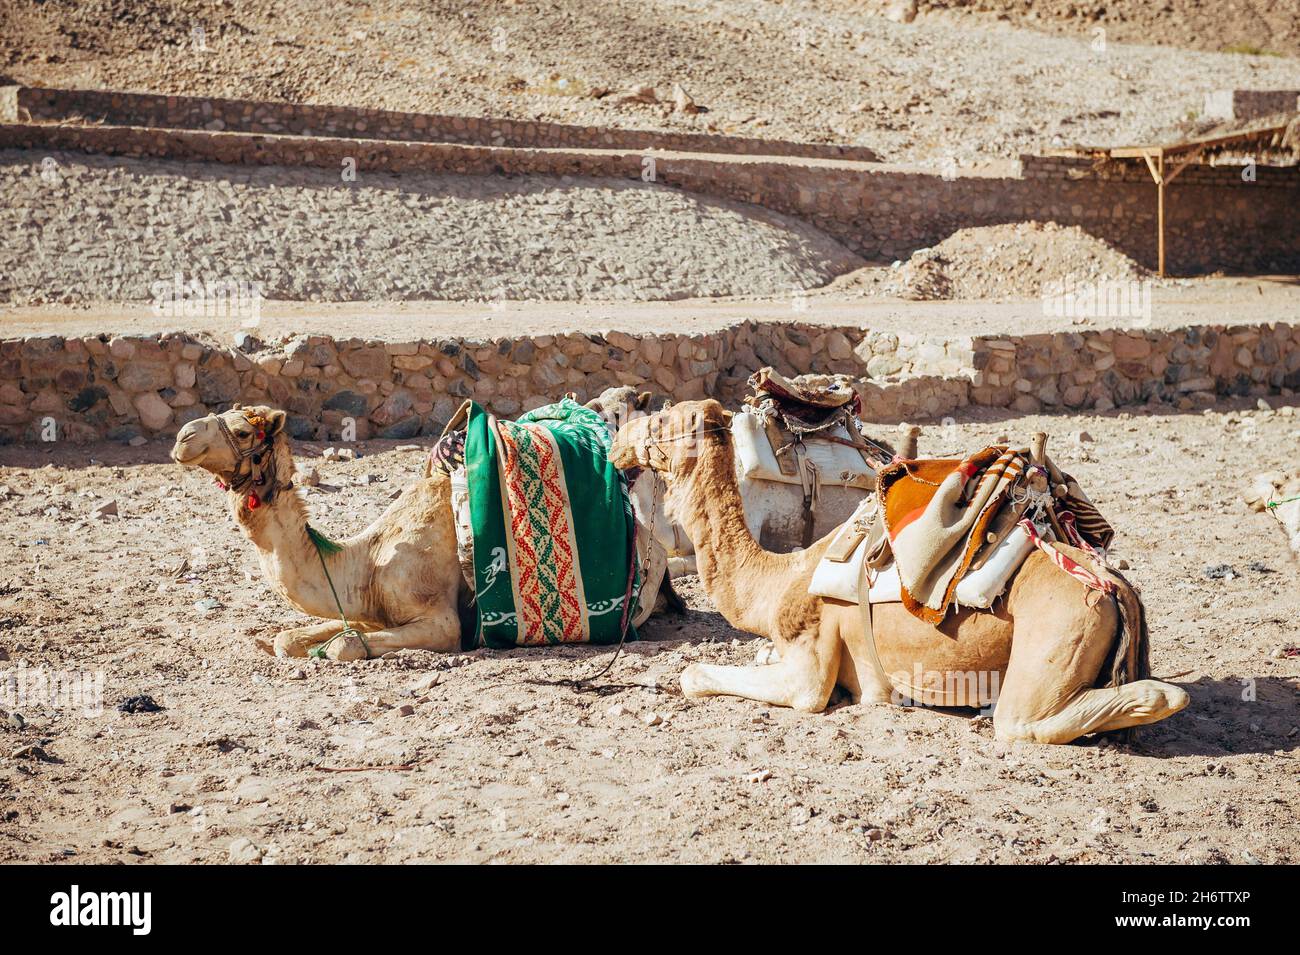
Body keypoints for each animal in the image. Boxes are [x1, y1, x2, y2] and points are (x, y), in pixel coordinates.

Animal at [170, 404, 672, 660]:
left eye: (241, 431)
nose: (182, 438)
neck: (365, 563)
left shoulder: (437, 618)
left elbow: (344, 647)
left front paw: (336, 648)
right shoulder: (370, 611)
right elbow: (287, 638)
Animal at [608, 399, 1190, 744]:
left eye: (659, 421)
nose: (617, 444)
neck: (778, 578)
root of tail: (1113, 588)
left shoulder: (808, 668)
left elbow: (694, 675)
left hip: (1056, 640)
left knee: (1046, 716)